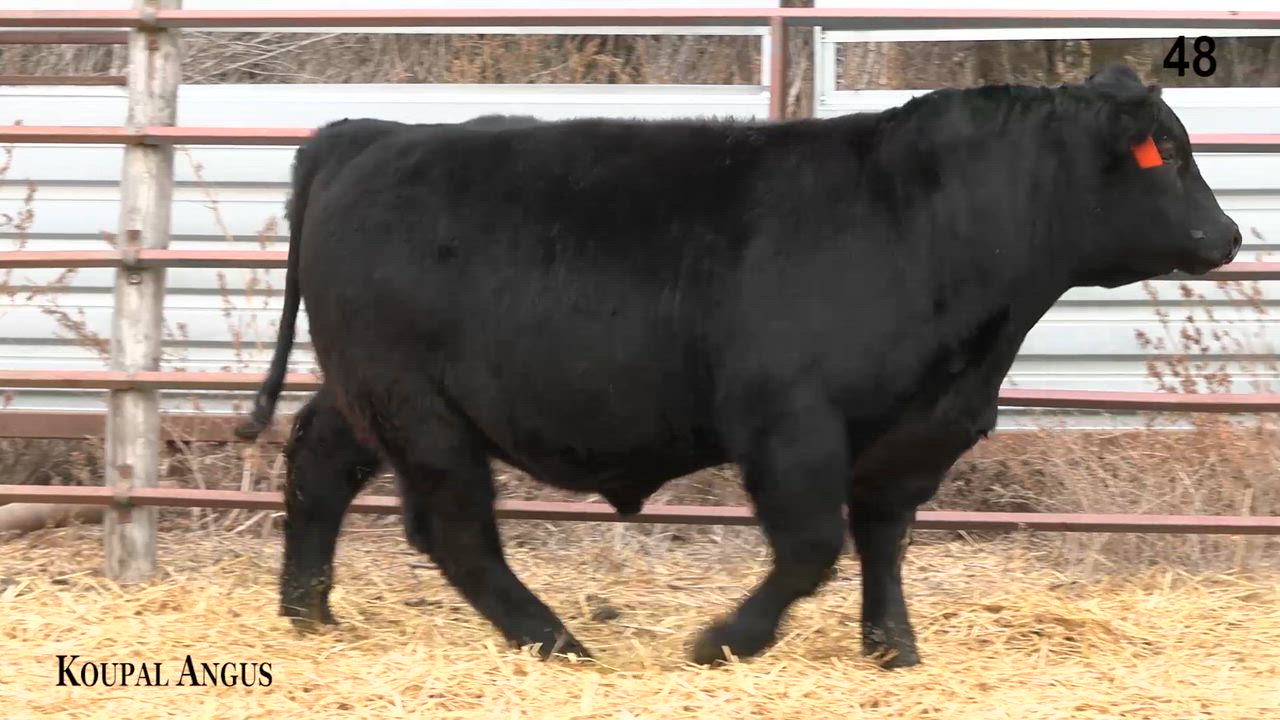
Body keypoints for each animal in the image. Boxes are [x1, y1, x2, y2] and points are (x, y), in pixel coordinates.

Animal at [237, 64, 1240, 669]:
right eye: (1168, 153)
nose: (1228, 235)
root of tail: (366, 134)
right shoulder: (789, 424)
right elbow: (811, 546)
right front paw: (725, 639)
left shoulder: (915, 435)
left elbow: (883, 539)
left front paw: (894, 647)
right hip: (418, 407)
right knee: (455, 527)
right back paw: (553, 640)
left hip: (365, 395)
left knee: (318, 461)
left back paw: (308, 611)